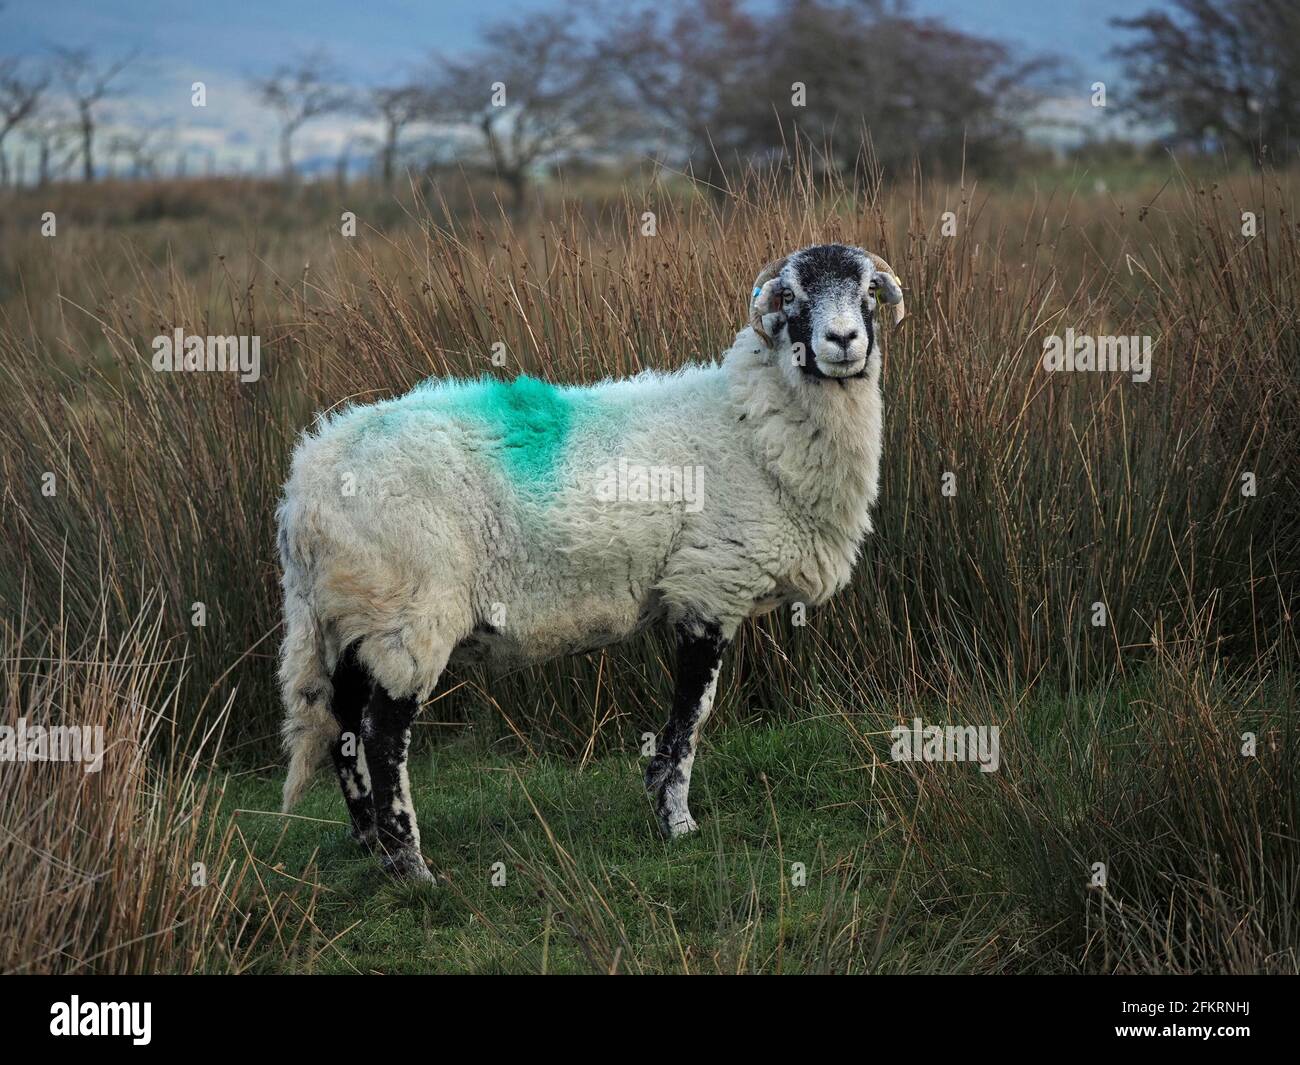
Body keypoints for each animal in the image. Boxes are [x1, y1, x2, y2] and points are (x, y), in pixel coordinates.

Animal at [277, 242, 905, 879]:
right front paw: (676, 822)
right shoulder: (709, 586)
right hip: (406, 612)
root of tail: (308, 484)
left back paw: (370, 843)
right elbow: (692, 717)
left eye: (867, 292)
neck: (747, 426)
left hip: (352, 614)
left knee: (343, 723)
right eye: (793, 296)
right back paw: (411, 866)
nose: (843, 340)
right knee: (380, 736)